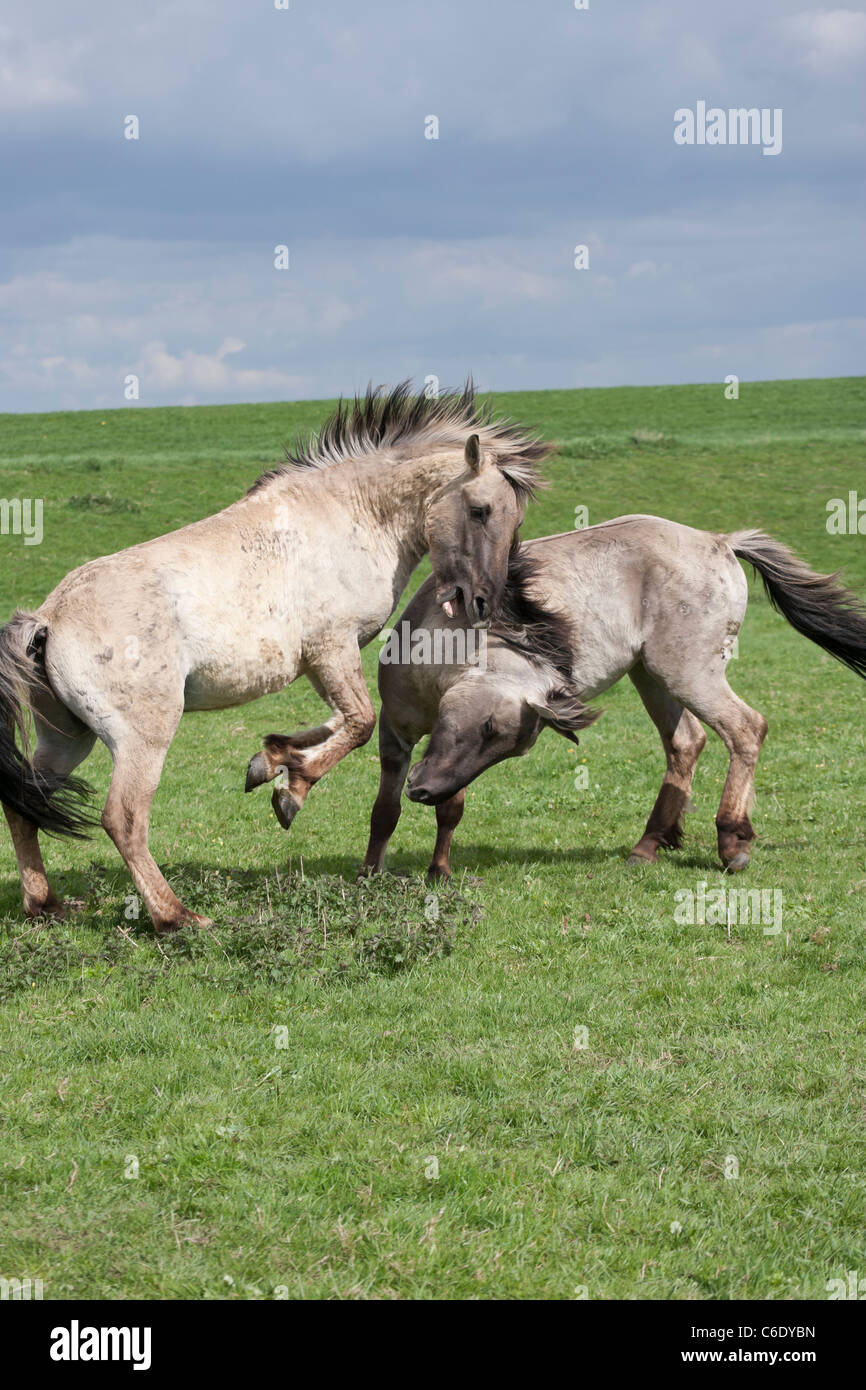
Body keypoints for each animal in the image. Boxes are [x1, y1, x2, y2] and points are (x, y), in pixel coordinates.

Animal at [0, 382, 549, 933]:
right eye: (480, 510)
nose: (483, 603)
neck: (353, 515)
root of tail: (49, 619)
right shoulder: (333, 649)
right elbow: (359, 723)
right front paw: (292, 791)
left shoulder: (321, 663)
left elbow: (337, 722)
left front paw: (271, 762)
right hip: (143, 738)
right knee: (124, 818)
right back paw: (177, 917)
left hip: (68, 739)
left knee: (25, 805)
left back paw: (46, 905)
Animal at [361, 516, 866, 879]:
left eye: (498, 737)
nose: (423, 790)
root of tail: (719, 541)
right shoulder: (396, 733)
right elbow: (388, 810)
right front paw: (374, 872)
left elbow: (448, 808)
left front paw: (435, 872)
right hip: (652, 677)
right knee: (686, 742)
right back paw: (648, 846)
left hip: (689, 674)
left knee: (745, 728)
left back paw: (731, 840)